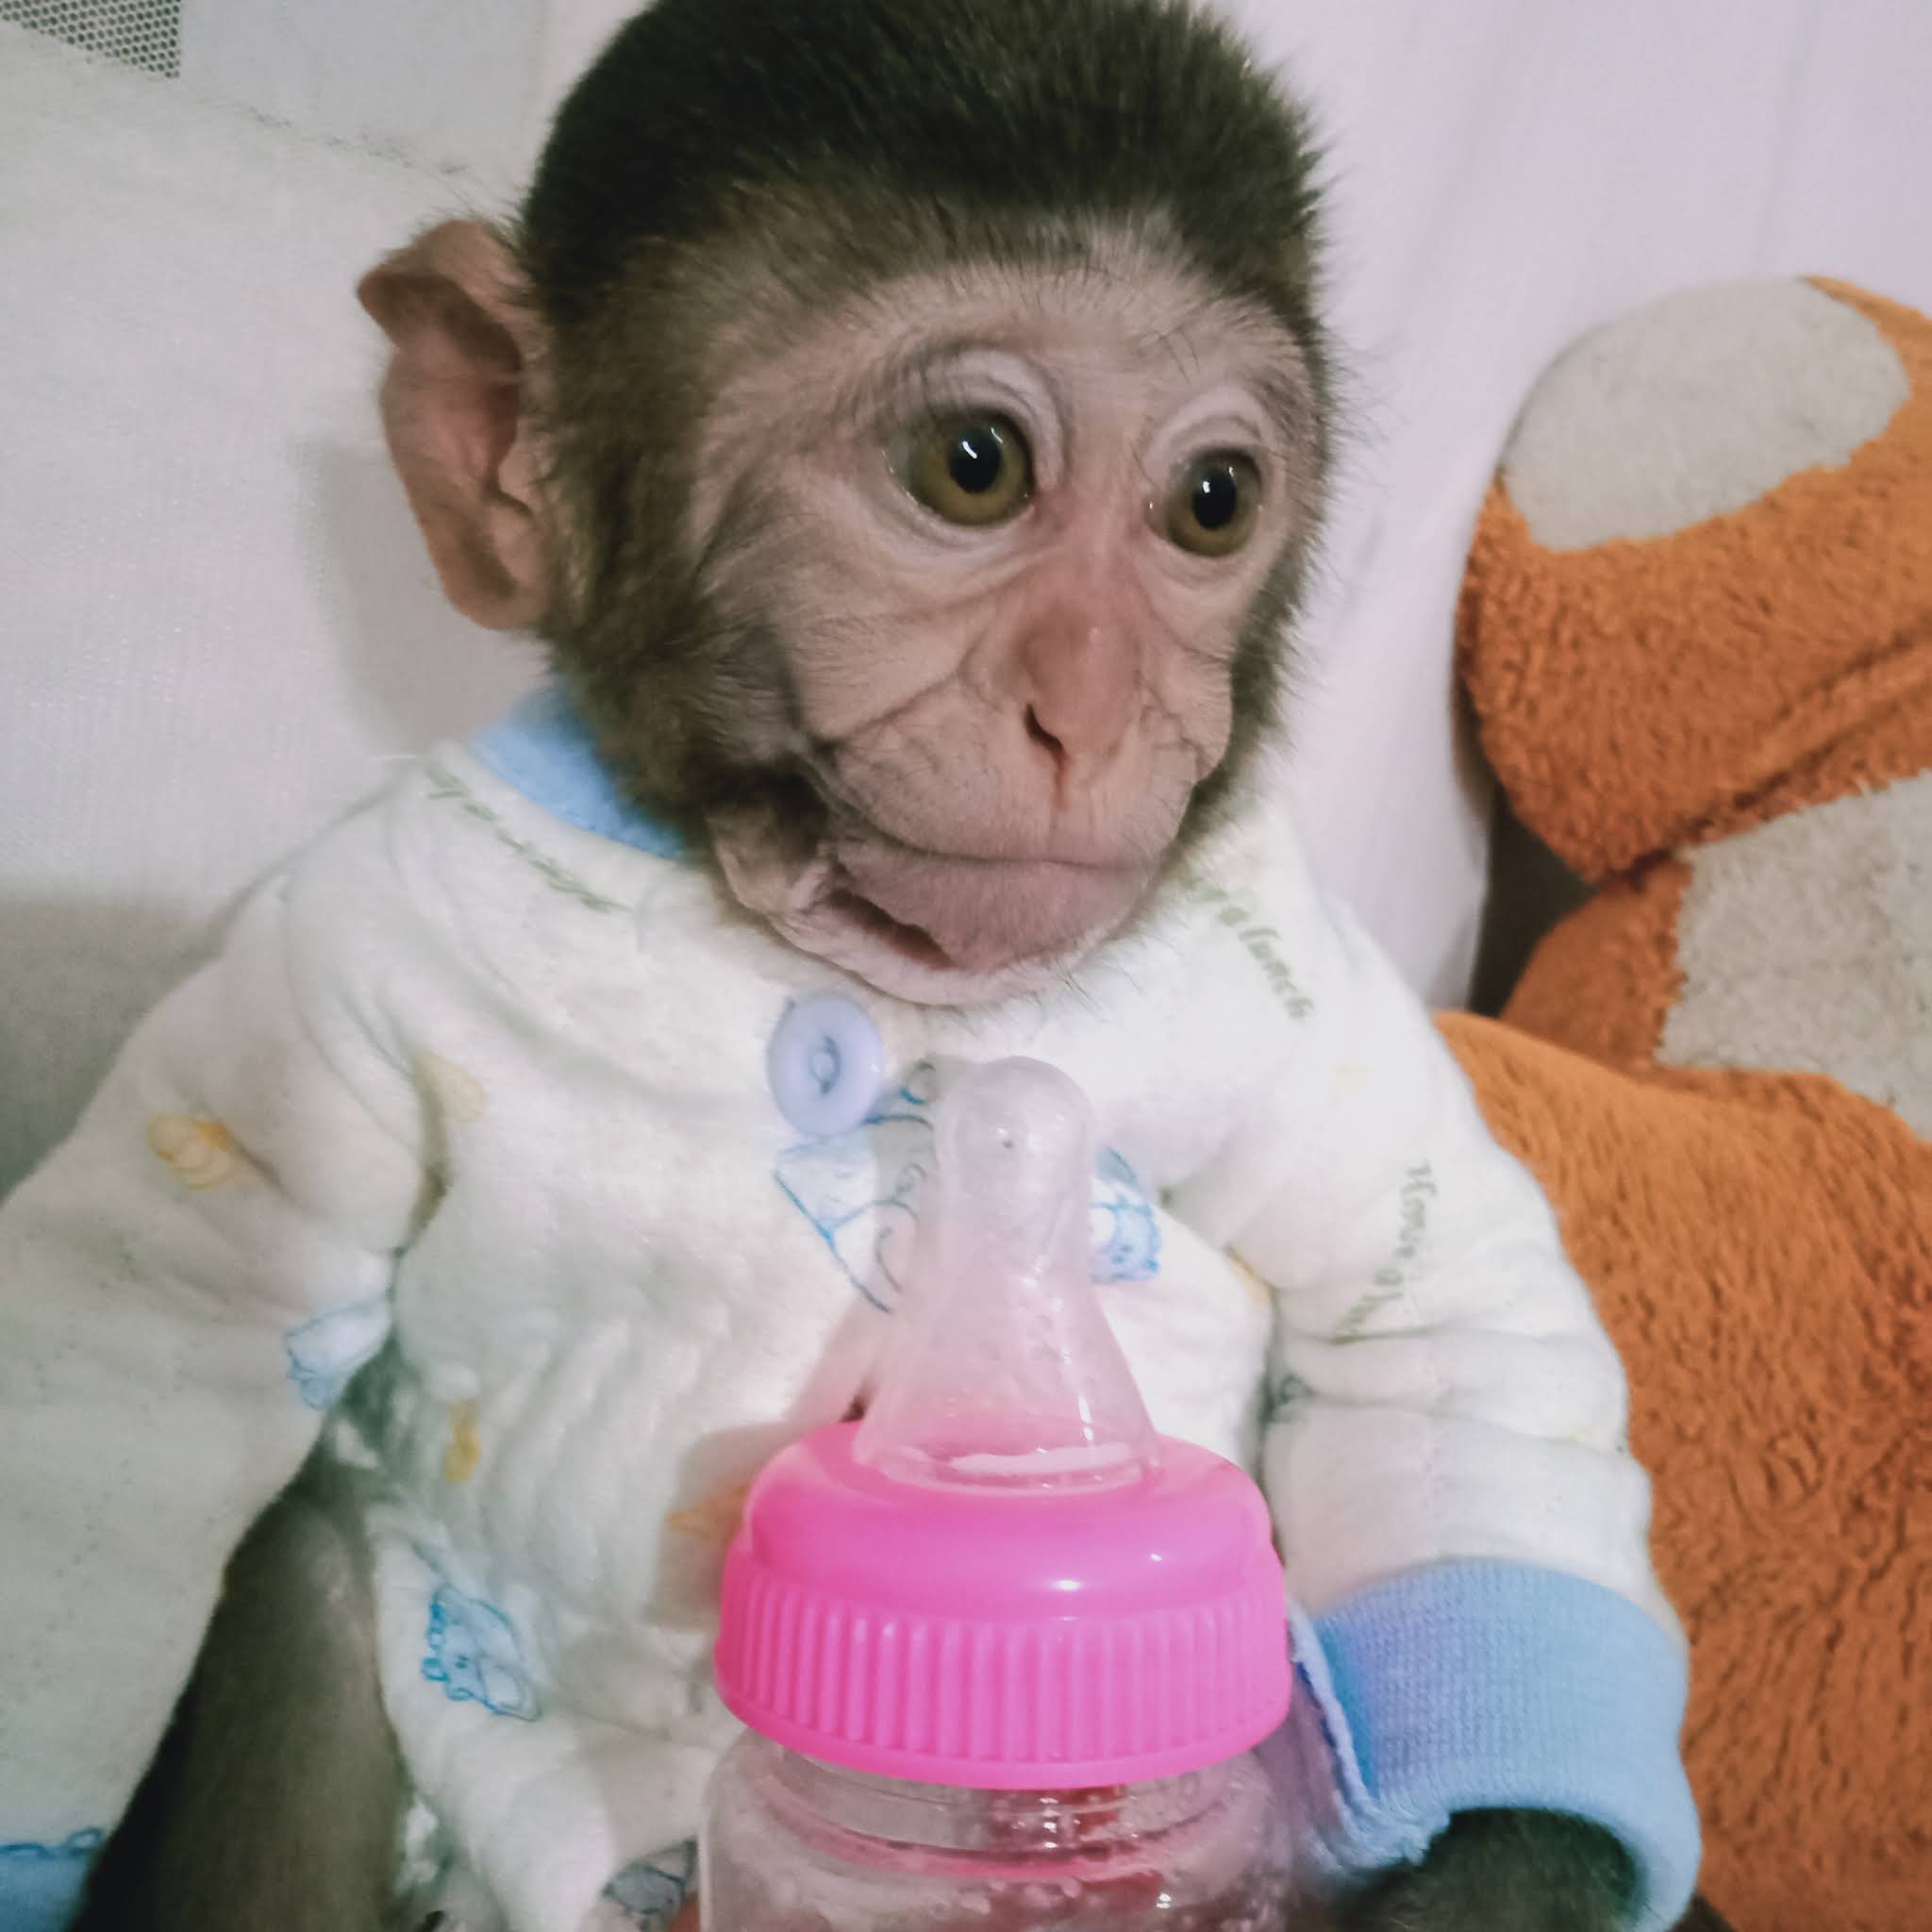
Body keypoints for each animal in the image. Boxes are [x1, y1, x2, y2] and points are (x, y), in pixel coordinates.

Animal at [0, 3, 1702, 1930]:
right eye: (972, 466)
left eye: (1210, 502)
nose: (1093, 701)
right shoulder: (343, 937)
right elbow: (153, 1321)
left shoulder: (1292, 977)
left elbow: (1438, 1309)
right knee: (299, 1577)